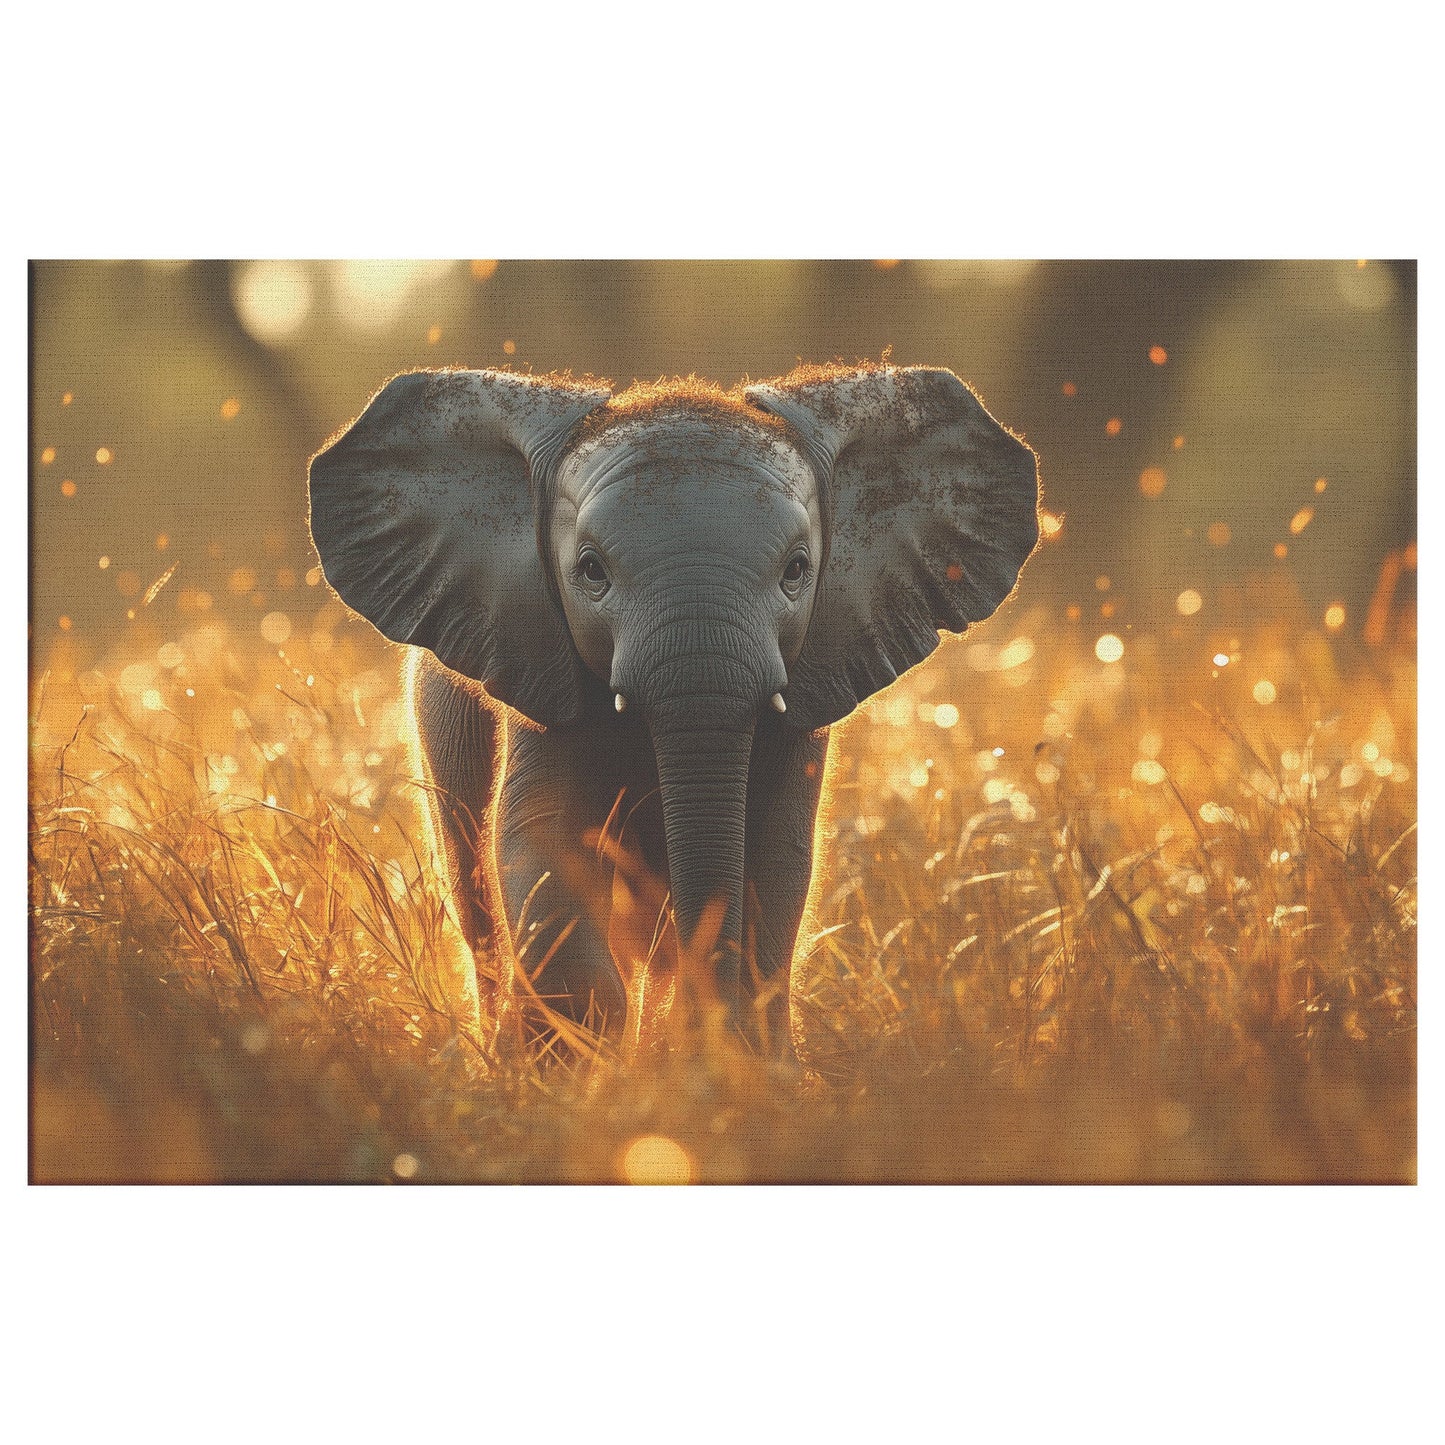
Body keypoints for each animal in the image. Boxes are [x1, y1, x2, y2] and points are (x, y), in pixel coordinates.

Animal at [308, 362, 1040, 1055]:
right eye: (591, 570)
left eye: (796, 570)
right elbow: (542, 842)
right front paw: (581, 1077)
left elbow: (775, 860)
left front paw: (733, 1067)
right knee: (477, 898)